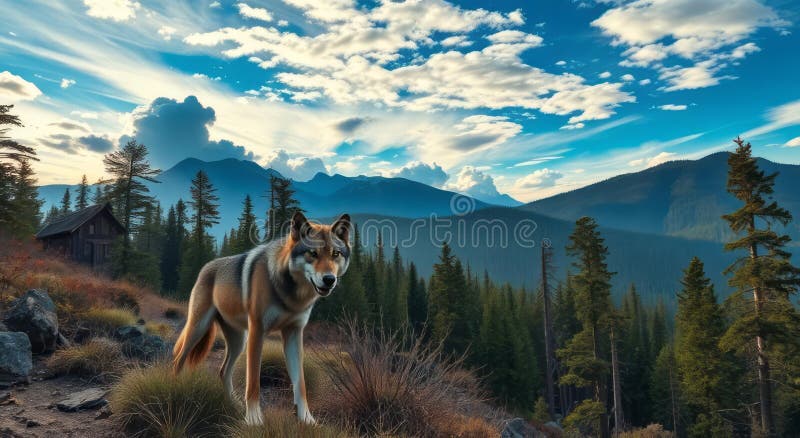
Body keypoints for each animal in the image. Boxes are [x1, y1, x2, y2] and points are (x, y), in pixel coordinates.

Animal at [172, 211, 351, 426]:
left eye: (335, 254)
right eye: (313, 253)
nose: (329, 279)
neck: (290, 296)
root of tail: (205, 267)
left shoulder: (294, 333)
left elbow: (300, 384)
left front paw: (307, 419)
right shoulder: (258, 330)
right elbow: (253, 382)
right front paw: (254, 419)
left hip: (238, 341)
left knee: (223, 371)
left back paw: (234, 405)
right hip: (199, 328)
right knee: (178, 360)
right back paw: (174, 390)